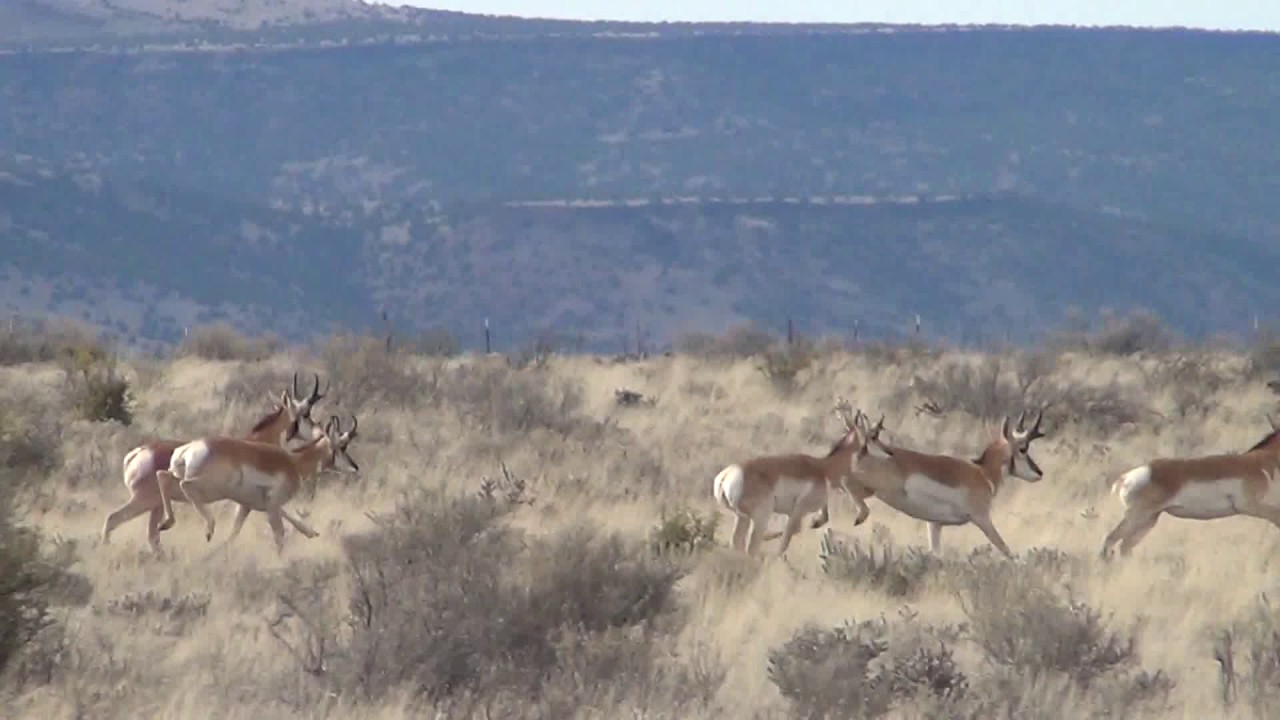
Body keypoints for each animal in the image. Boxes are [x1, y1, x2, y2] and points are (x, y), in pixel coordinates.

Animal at [101, 372, 329, 552]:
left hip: (154, 506)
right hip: (145, 501)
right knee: (114, 519)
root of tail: (138, 453)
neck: (255, 441)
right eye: (305, 414)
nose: (320, 433)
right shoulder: (249, 497)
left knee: (150, 534)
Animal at [157, 414, 360, 553]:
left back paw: (165, 523)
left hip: (183, 484)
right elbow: (279, 533)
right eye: (342, 447)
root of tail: (188, 449)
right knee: (184, 485)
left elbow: (236, 530)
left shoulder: (250, 505)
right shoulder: (273, 503)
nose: (355, 467)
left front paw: (310, 532)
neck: (294, 462)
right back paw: (208, 529)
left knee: (162, 477)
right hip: (210, 489)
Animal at [712, 397, 893, 556]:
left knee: (737, 542)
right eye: (874, 436)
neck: (824, 468)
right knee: (751, 547)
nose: (890, 453)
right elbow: (786, 540)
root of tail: (727, 475)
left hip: (742, 517)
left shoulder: (794, 513)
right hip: (760, 516)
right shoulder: (798, 511)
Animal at [846, 409, 1048, 559]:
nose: (1039, 472)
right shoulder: (982, 519)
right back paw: (859, 516)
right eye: (1023, 448)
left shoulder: (934, 524)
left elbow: (936, 554)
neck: (982, 472)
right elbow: (1005, 549)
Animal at [1099, 415, 1280, 559]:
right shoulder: (1250, 506)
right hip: (1138, 517)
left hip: (1149, 520)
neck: (1259, 462)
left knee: (1124, 545)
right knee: (1114, 540)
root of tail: (1125, 477)